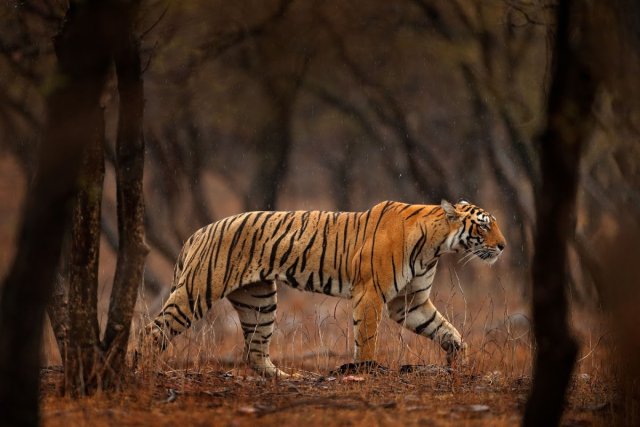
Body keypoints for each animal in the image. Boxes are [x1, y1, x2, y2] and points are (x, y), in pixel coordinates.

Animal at [145, 200, 506, 377]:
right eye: (484, 225)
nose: (503, 246)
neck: (437, 246)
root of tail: (199, 231)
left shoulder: (410, 302)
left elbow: (446, 329)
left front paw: (459, 358)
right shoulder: (371, 294)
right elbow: (367, 339)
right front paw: (367, 373)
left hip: (259, 300)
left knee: (254, 352)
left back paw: (288, 378)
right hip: (197, 291)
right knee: (152, 330)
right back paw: (138, 370)